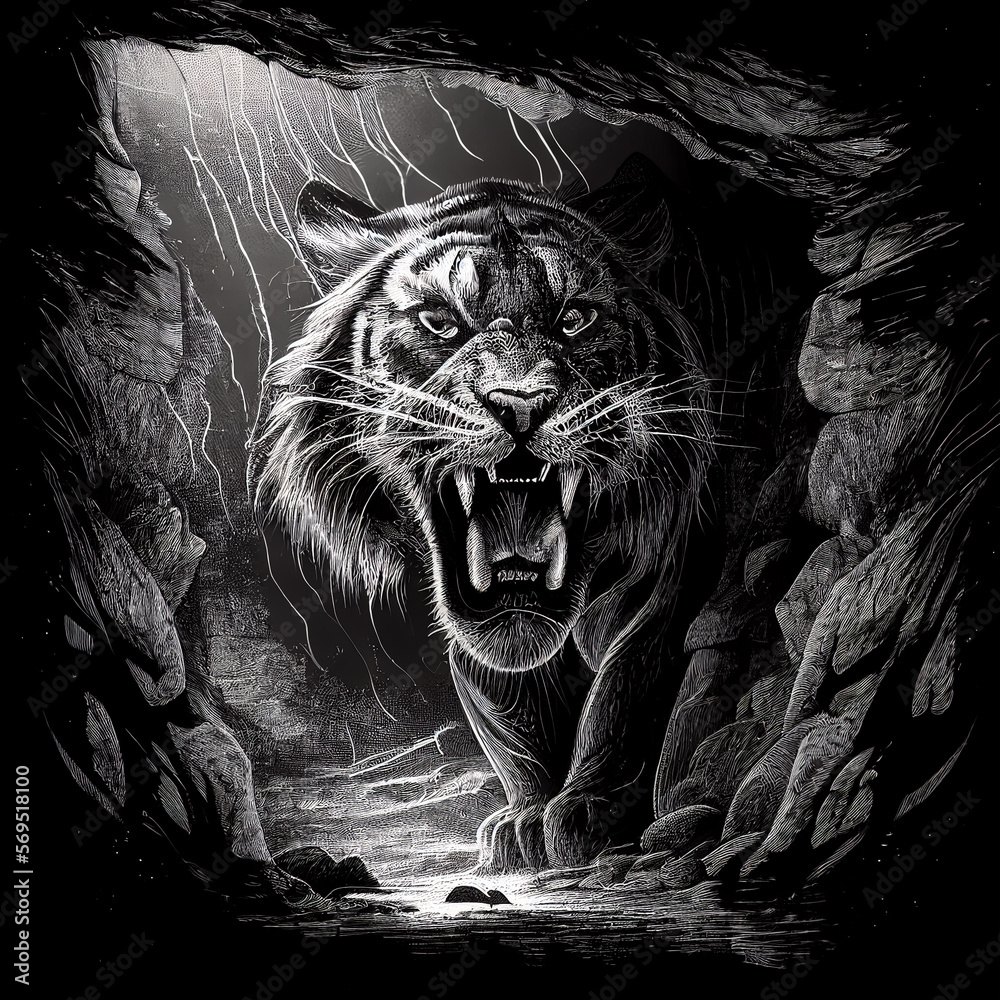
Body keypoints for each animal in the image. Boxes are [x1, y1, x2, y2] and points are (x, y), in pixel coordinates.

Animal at [250, 155, 718, 870]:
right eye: (439, 321)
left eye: (574, 318)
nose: (521, 402)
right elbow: (509, 717)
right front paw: (527, 817)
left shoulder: (660, 574)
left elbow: (624, 690)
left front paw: (590, 808)